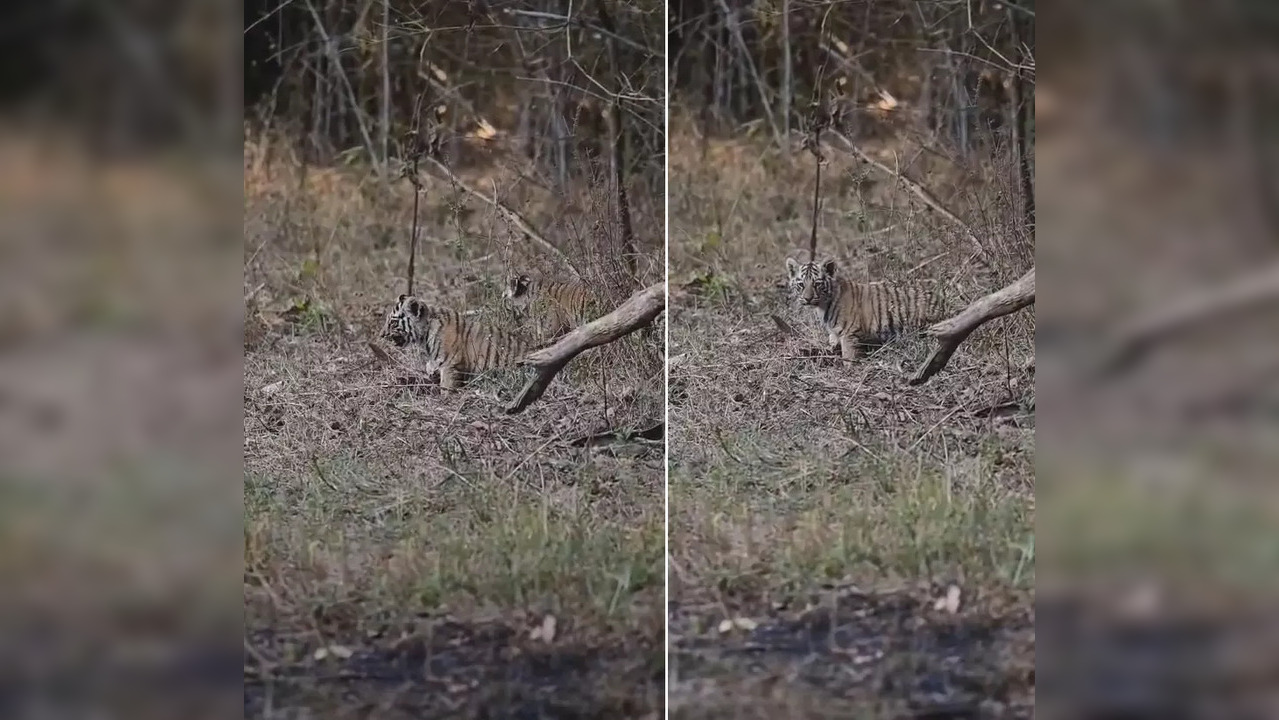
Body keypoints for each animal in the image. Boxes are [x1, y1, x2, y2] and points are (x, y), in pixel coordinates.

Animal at [785, 257, 950, 360]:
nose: (807, 298)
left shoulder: (849, 334)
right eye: (801, 284)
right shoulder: (834, 335)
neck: (823, 306)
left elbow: (848, 357)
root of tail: (944, 306)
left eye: (817, 284)